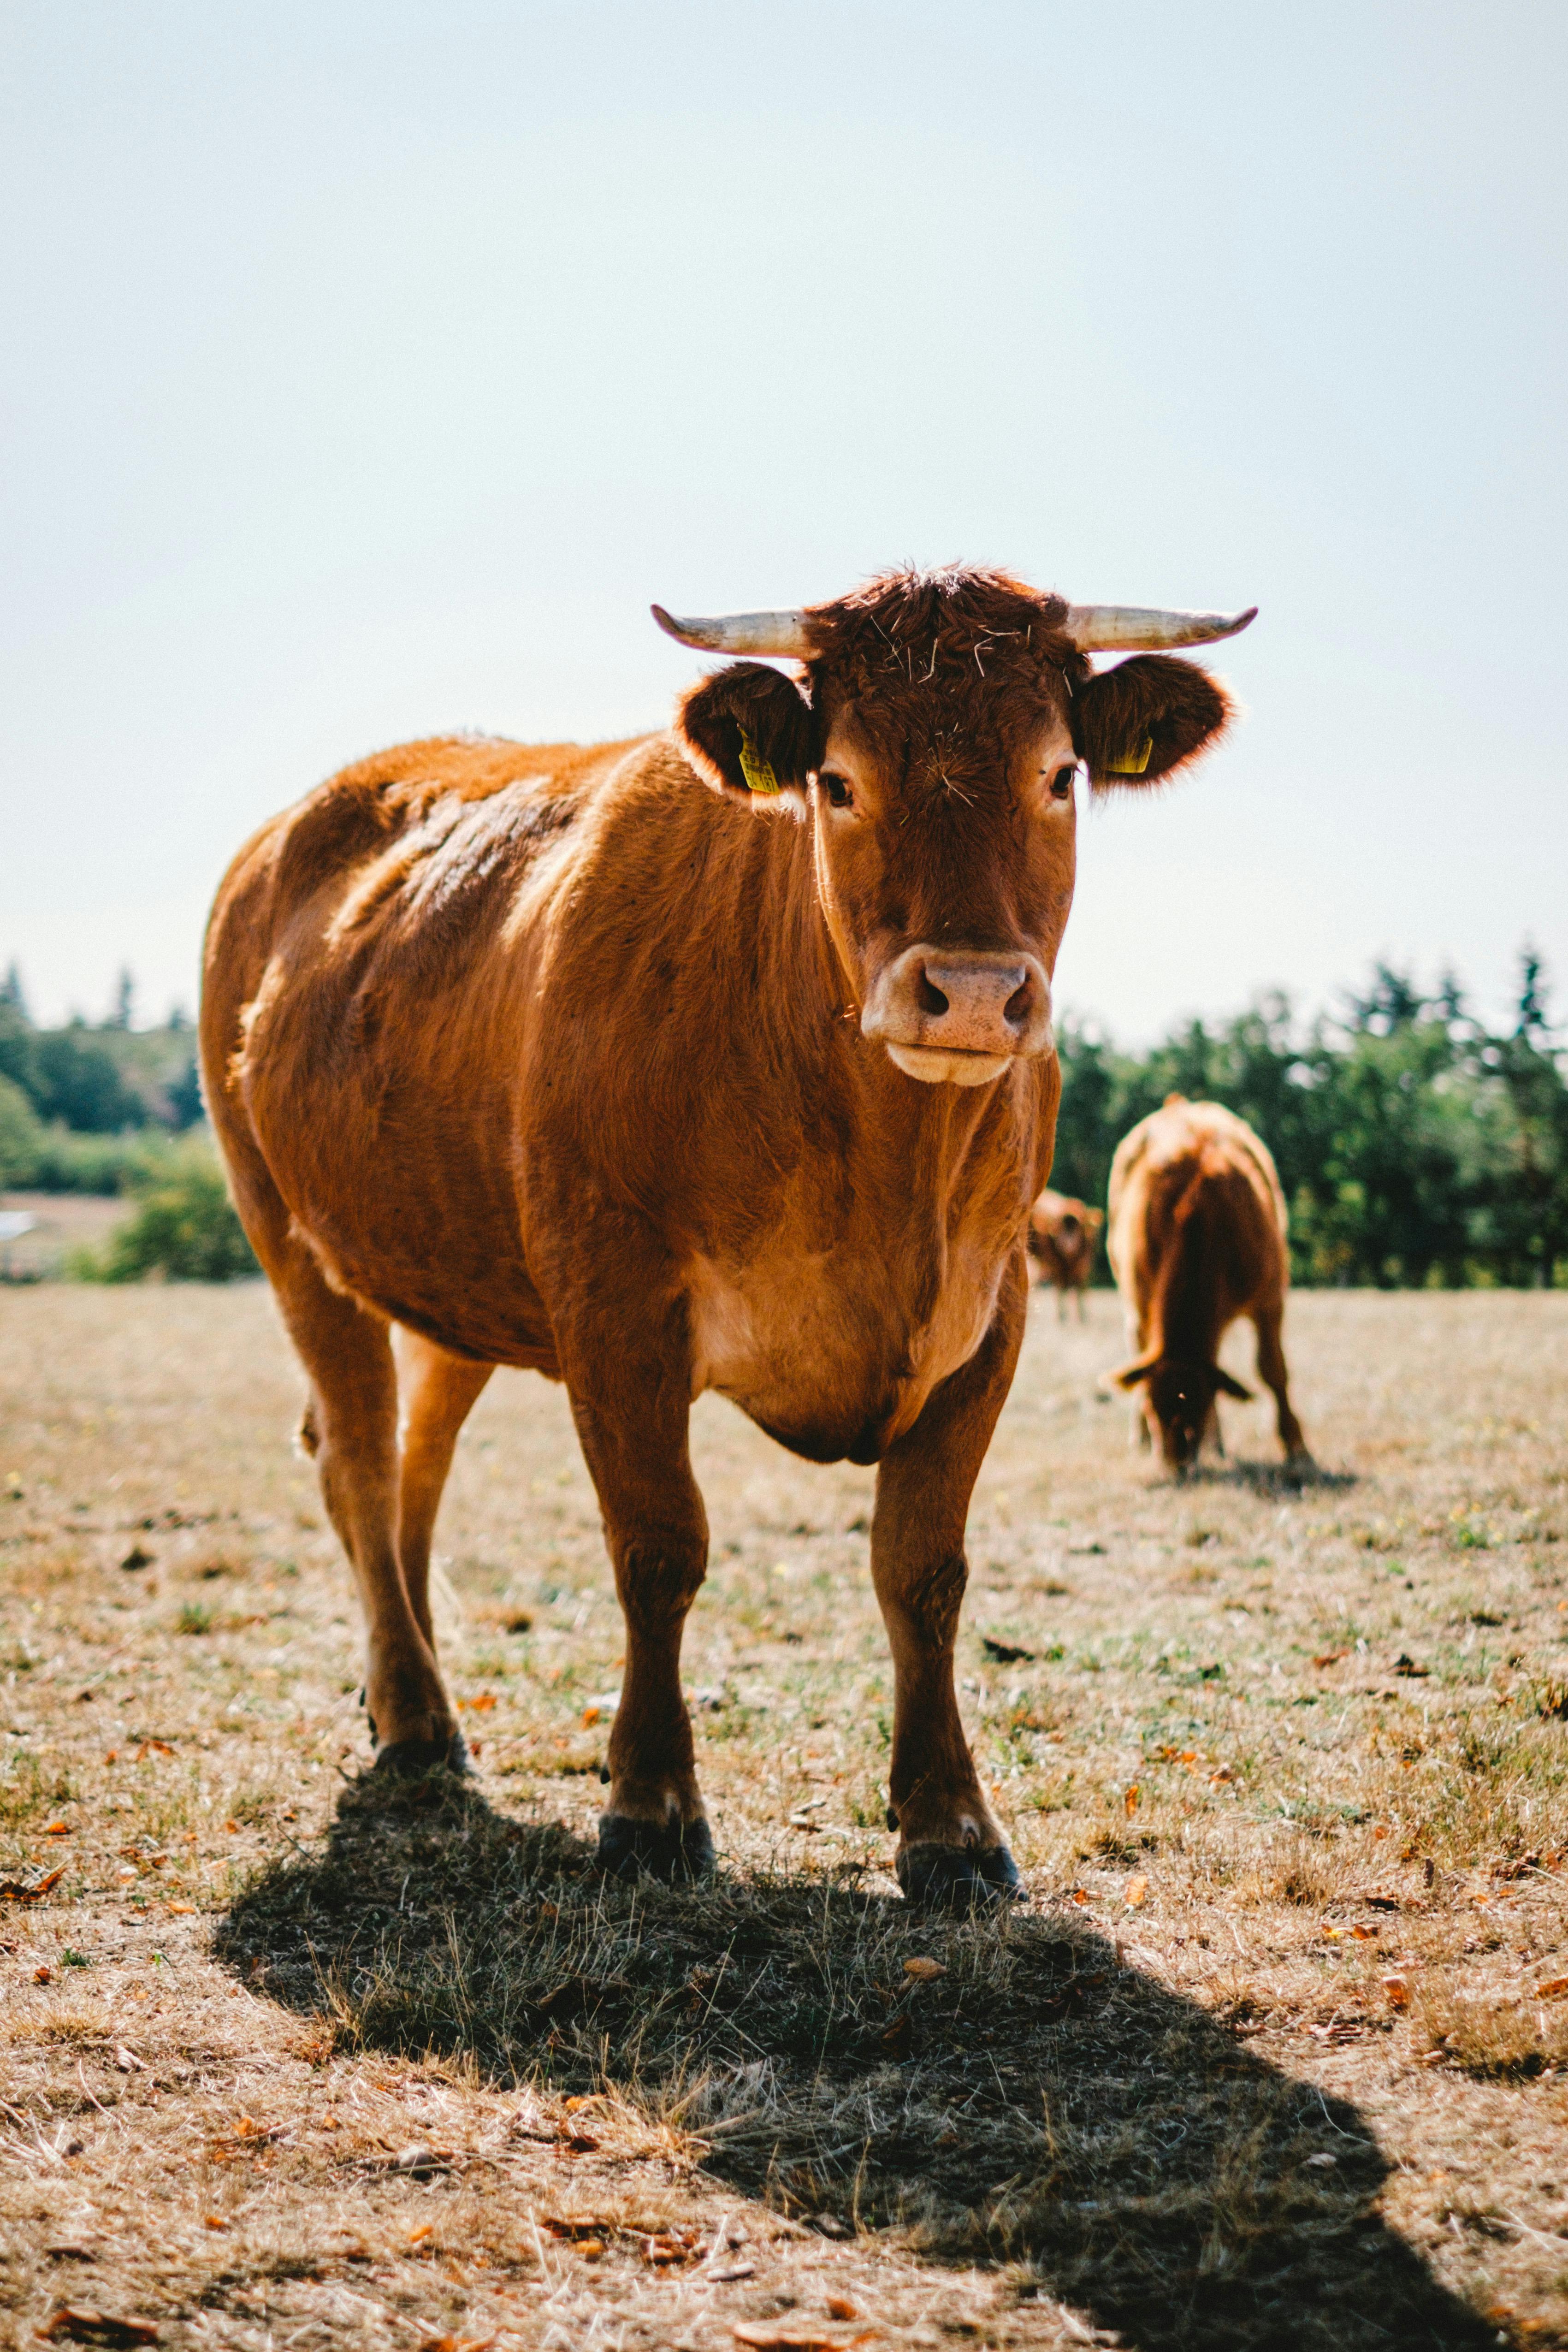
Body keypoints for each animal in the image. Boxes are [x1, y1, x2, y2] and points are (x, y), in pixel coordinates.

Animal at [1027, 1188, 1104, 1317]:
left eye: (1080, 1227)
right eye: (1059, 1228)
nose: (1069, 1245)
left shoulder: (1084, 1263)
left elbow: (1080, 1286)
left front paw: (1082, 1315)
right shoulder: (1056, 1264)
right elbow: (1061, 1286)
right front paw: (1062, 1315)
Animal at [1107, 1096, 1309, 1476]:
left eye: (1198, 1407)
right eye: (1153, 1408)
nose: (1175, 1463)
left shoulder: (1270, 1298)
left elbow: (1273, 1371)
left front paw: (1297, 1447)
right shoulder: (1142, 1299)